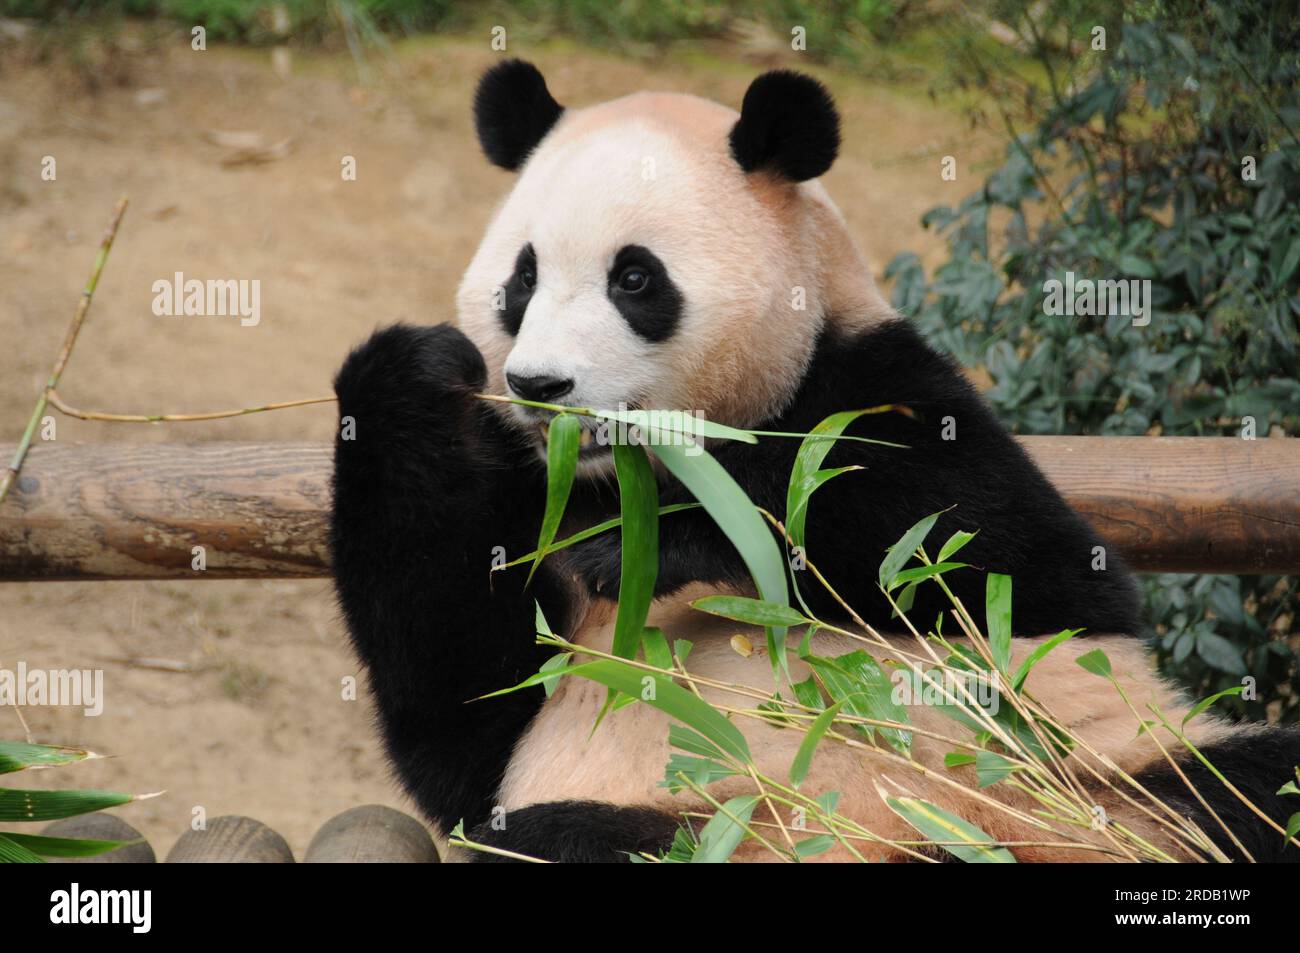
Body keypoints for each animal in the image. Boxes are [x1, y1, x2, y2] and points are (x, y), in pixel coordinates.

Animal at [330, 60, 1300, 863]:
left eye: (634, 278)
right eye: (522, 279)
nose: (540, 385)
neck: (631, 475)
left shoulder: (879, 383)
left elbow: (1005, 560)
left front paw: (682, 538)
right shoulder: (528, 502)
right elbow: (462, 716)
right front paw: (413, 376)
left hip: (1116, 772)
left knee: (1247, 790)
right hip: (688, 818)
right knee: (562, 840)